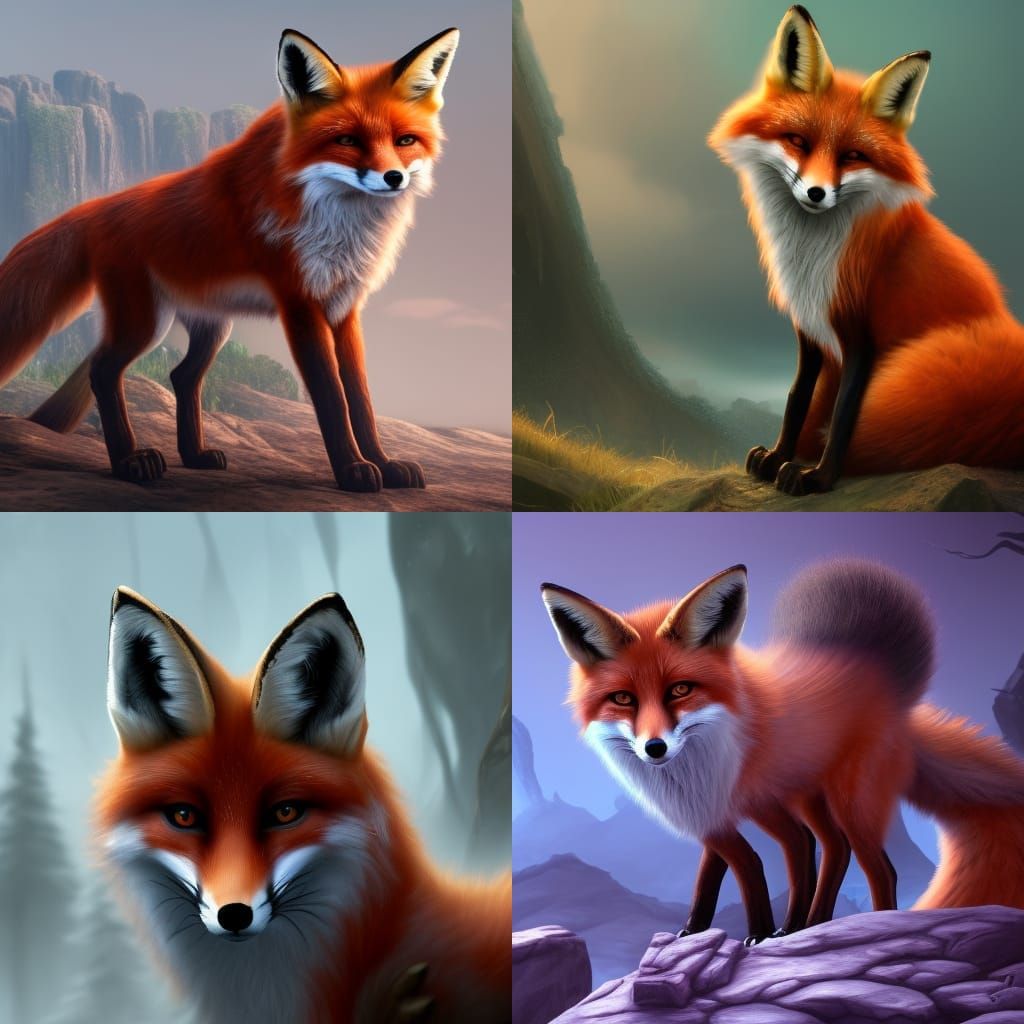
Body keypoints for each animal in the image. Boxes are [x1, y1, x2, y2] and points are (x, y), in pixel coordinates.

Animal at [0, 28, 460, 492]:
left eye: (404, 141)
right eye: (347, 141)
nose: (393, 178)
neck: (339, 226)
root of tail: (98, 205)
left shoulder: (344, 307)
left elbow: (361, 399)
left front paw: (385, 463)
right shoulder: (300, 305)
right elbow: (332, 398)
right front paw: (352, 470)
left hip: (211, 325)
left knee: (181, 376)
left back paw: (194, 455)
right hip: (145, 323)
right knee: (102, 369)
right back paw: (130, 461)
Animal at [541, 560, 1024, 943]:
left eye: (680, 690)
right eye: (623, 699)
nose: (654, 748)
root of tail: (890, 689)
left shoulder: (748, 804)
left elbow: (756, 863)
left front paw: (759, 933)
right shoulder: (711, 812)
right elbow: (711, 873)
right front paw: (694, 931)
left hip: (841, 803)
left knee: (870, 865)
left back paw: (862, 925)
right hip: (810, 799)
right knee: (834, 848)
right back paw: (814, 923)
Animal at [709, 5, 1024, 495]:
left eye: (852, 155)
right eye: (798, 141)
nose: (816, 193)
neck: (815, 256)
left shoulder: (861, 333)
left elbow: (842, 415)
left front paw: (818, 477)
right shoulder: (810, 330)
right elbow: (797, 399)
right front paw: (779, 456)